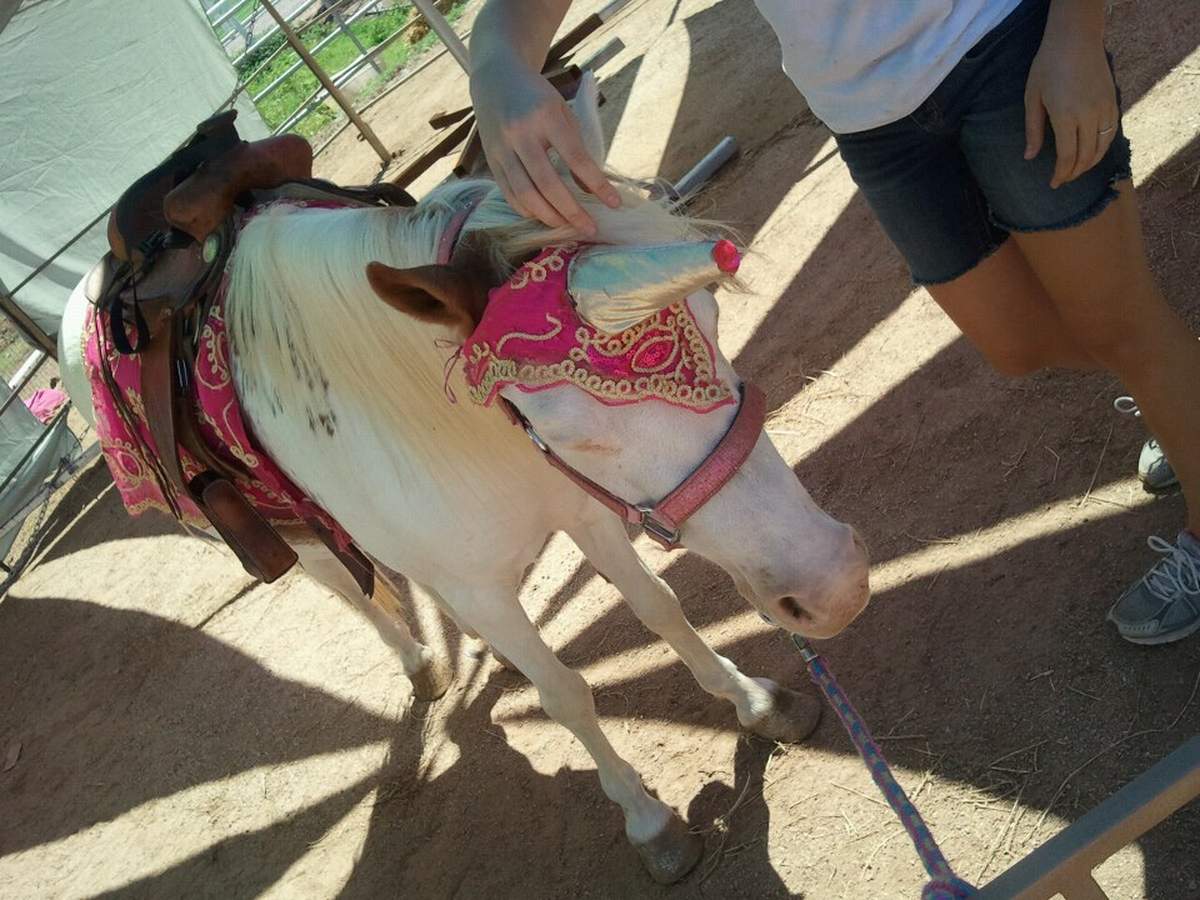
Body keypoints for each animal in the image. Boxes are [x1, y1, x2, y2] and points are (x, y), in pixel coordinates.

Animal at [56, 79, 870, 882]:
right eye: (565, 424)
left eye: (712, 319)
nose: (835, 584)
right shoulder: (485, 577)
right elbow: (564, 695)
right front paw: (649, 822)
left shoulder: (584, 509)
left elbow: (662, 610)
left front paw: (754, 703)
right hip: (296, 540)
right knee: (352, 591)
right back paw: (421, 662)